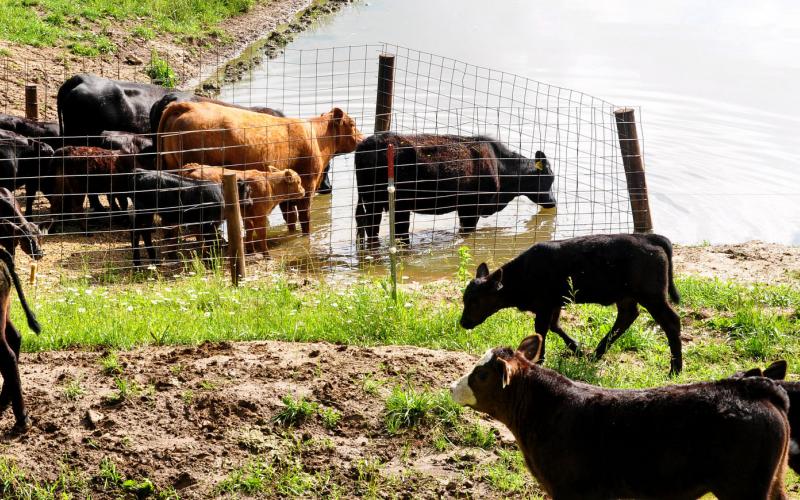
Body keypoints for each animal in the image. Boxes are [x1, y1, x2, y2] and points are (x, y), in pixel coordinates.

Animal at [157, 101, 363, 234]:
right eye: (352, 124)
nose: (362, 138)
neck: (317, 138)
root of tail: (187, 105)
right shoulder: (307, 187)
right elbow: (305, 220)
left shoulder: (287, 192)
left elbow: (290, 219)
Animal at [353, 134, 556, 248]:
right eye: (550, 178)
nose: (553, 201)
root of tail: (364, 146)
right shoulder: (470, 209)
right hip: (387, 203)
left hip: (377, 203)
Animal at [450, 334, 790, 500]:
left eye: (481, 375)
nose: (452, 387)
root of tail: (751, 387)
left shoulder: (569, 490)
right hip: (773, 482)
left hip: (743, 488)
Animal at [460, 233, 682, 374]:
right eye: (465, 299)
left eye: (475, 301)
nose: (463, 323)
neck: (524, 274)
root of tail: (648, 237)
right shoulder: (556, 302)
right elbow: (554, 325)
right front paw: (577, 349)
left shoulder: (545, 304)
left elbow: (541, 330)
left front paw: (540, 360)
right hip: (626, 296)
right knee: (627, 316)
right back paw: (596, 354)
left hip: (652, 296)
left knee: (671, 322)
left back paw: (675, 369)